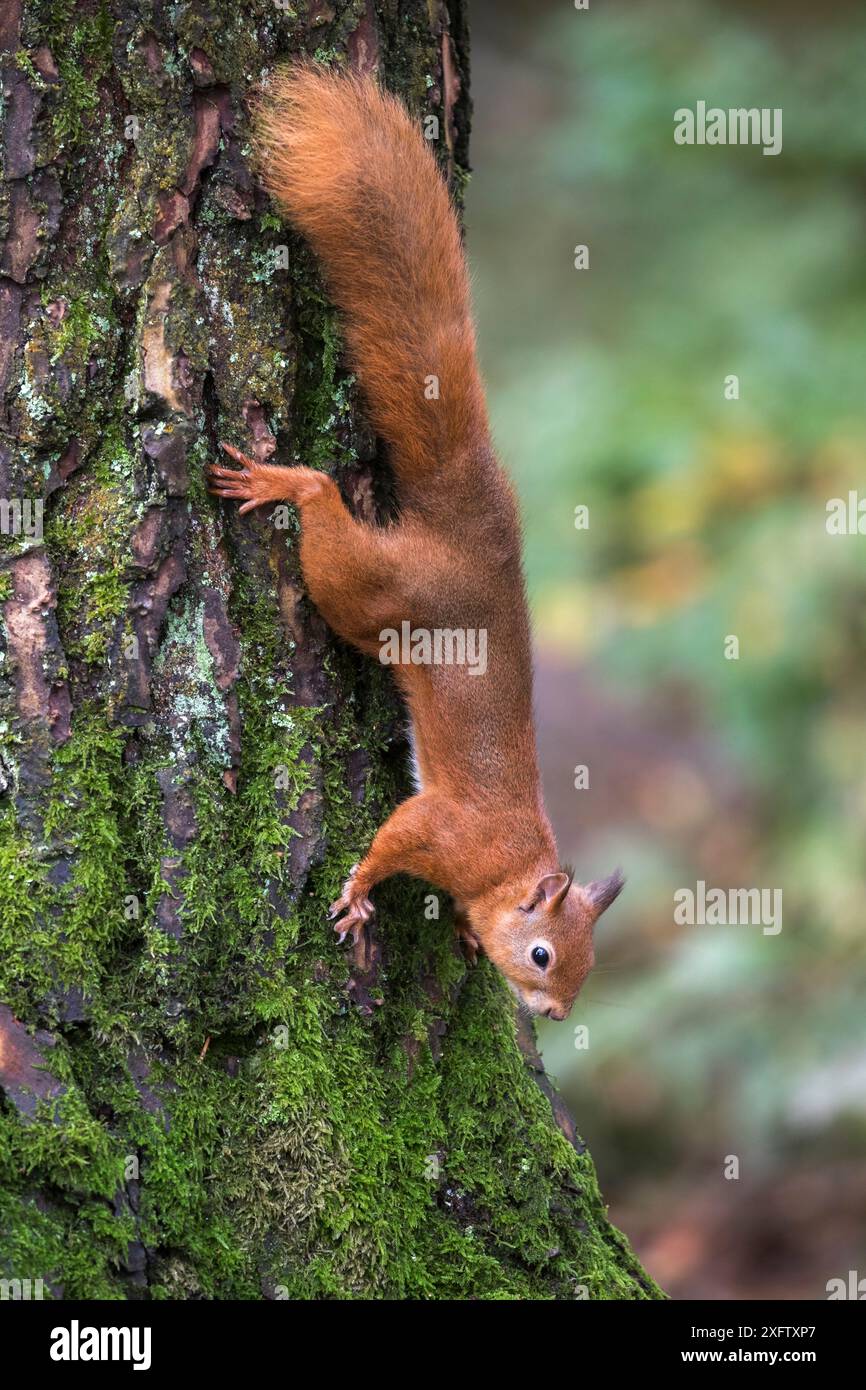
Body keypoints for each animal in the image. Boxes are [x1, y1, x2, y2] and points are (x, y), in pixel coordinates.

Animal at [208, 65, 624, 1021]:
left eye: (589, 968)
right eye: (544, 954)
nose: (553, 1015)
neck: (514, 863)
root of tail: (478, 524)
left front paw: (464, 936)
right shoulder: (445, 831)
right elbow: (392, 840)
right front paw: (361, 891)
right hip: (372, 587)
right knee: (328, 522)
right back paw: (287, 485)